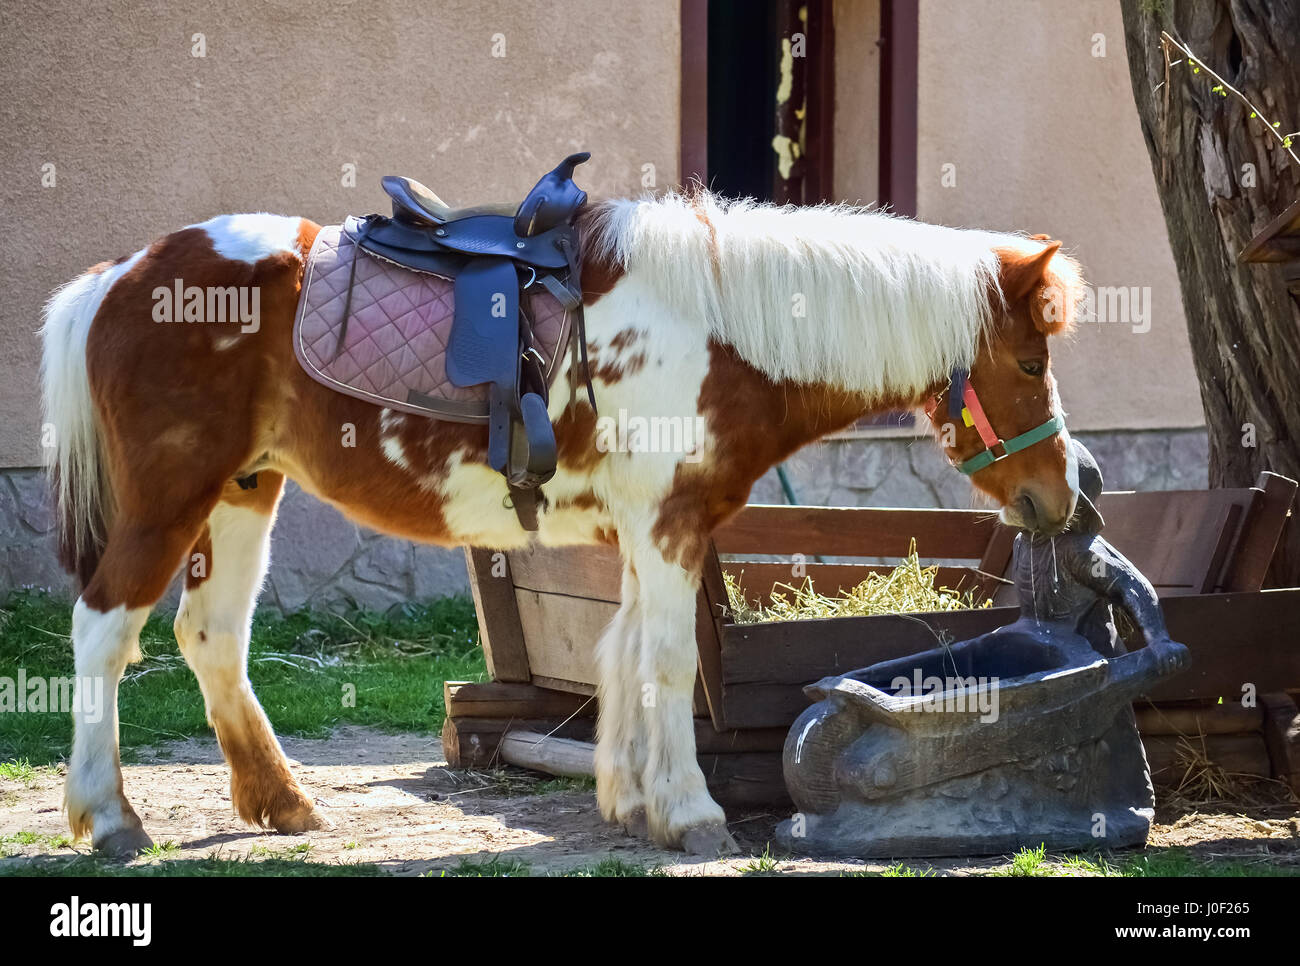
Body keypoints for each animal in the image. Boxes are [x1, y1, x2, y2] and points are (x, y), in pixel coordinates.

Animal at [39, 188, 1085, 856]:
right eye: (1032, 362)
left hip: (245, 491)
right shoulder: (670, 526)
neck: (718, 328)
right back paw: (112, 818)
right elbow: (667, 662)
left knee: (210, 637)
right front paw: (691, 814)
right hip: (169, 498)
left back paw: (282, 802)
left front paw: (630, 803)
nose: (1070, 490)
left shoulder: (641, 534)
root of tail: (122, 274)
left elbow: (620, 655)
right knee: (102, 633)